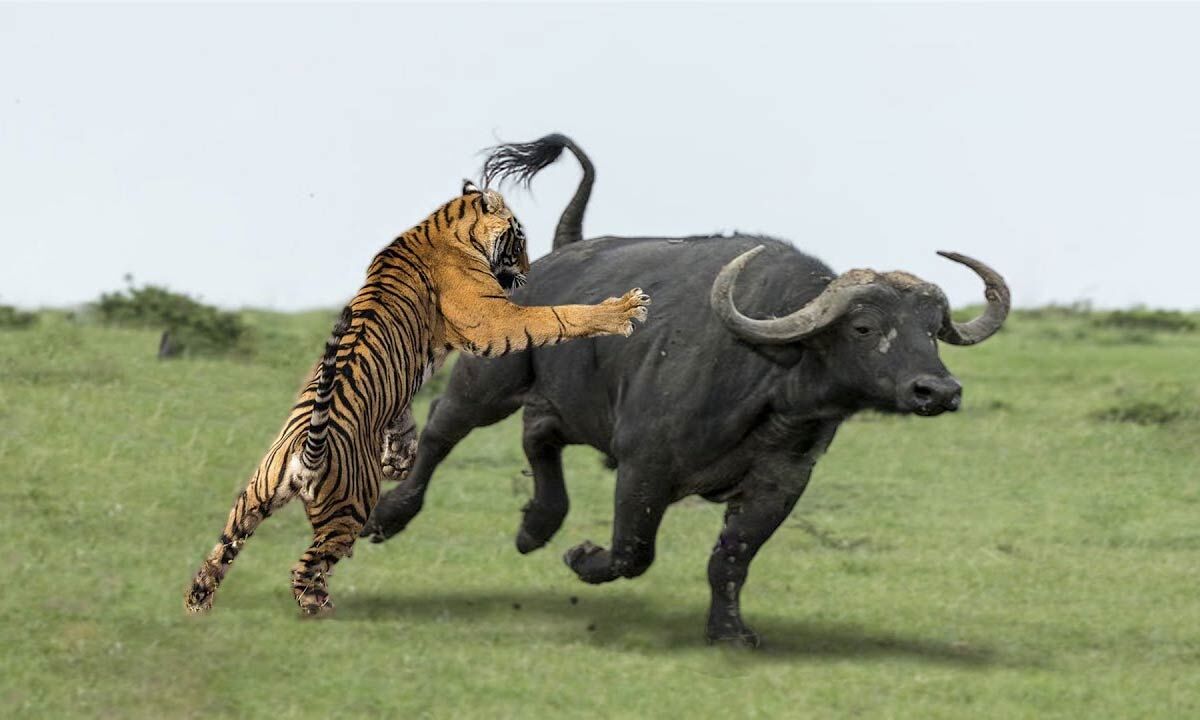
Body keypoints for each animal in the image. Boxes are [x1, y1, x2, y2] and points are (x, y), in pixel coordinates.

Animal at [184, 181, 651, 616]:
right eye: (518, 240)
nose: (526, 270)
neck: (443, 227)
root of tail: (306, 454)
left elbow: (404, 417)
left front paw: (399, 457)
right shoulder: (495, 321)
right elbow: (557, 316)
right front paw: (623, 310)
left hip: (249, 503)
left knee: (219, 555)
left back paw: (197, 605)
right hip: (347, 512)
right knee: (306, 569)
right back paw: (324, 613)